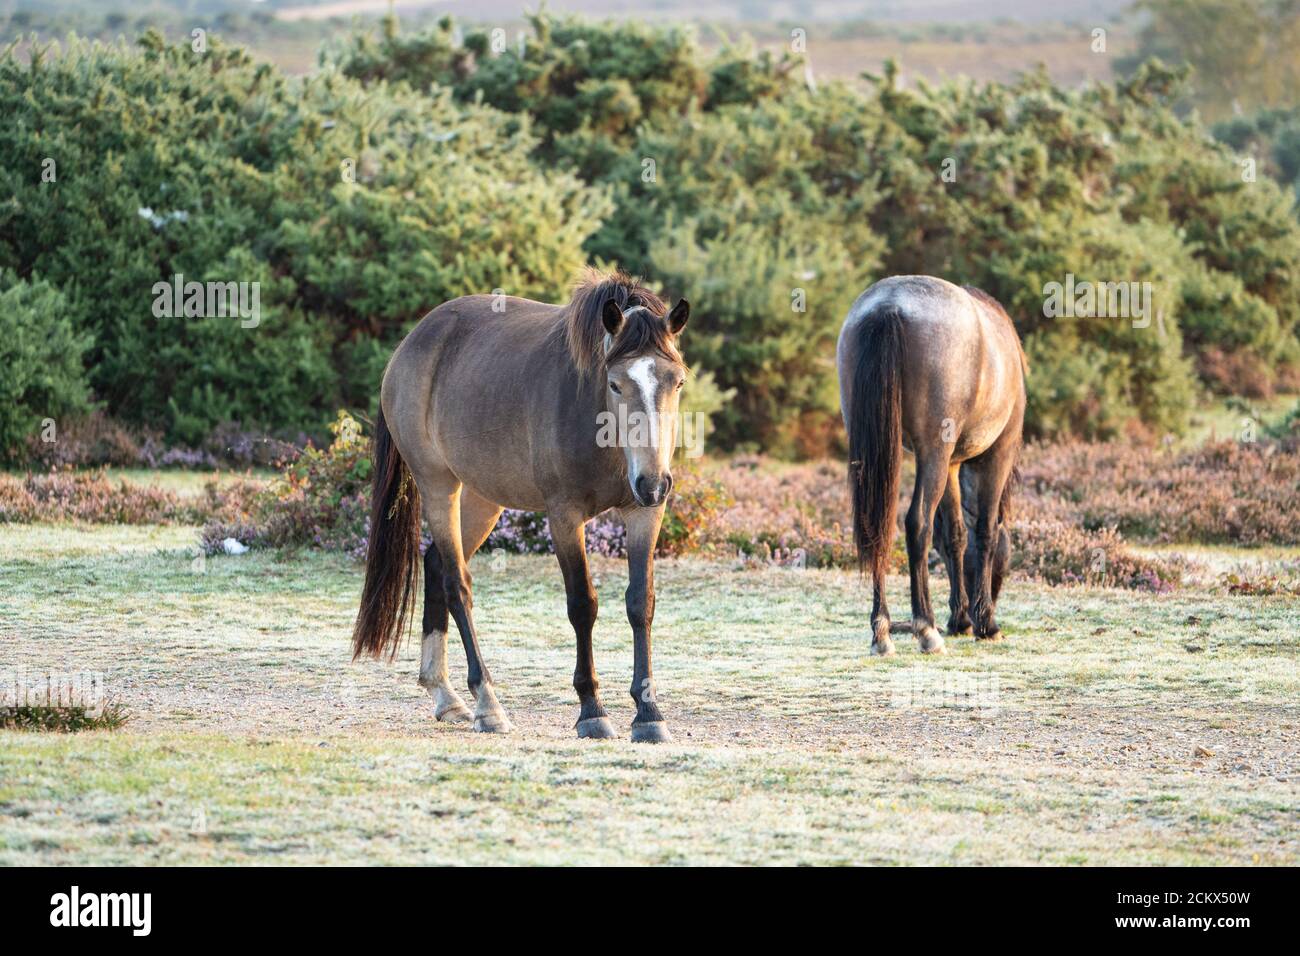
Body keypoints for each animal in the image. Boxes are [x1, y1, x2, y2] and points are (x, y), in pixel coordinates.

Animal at [351, 270, 690, 743]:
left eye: (677, 382)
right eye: (616, 383)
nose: (654, 481)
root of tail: (410, 344)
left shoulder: (645, 512)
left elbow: (640, 603)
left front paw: (648, 713)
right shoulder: (564, 516)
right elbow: (582, 605)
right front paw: (592, 711)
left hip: (482, 497)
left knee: (436, 563)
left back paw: (445, 694)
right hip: (439, 486)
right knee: (456, 582)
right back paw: (487, 703)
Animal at [837, 276, 1026, 656]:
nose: (992, 598)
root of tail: (889, 306)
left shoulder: (952, 465)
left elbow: (955, 534)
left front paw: (961, 620)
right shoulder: (997, 454)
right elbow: (984, 530)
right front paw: (985, 623)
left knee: (877, 528)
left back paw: (882, 633)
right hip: (934, 452)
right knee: (917, 522)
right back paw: (926, 629)